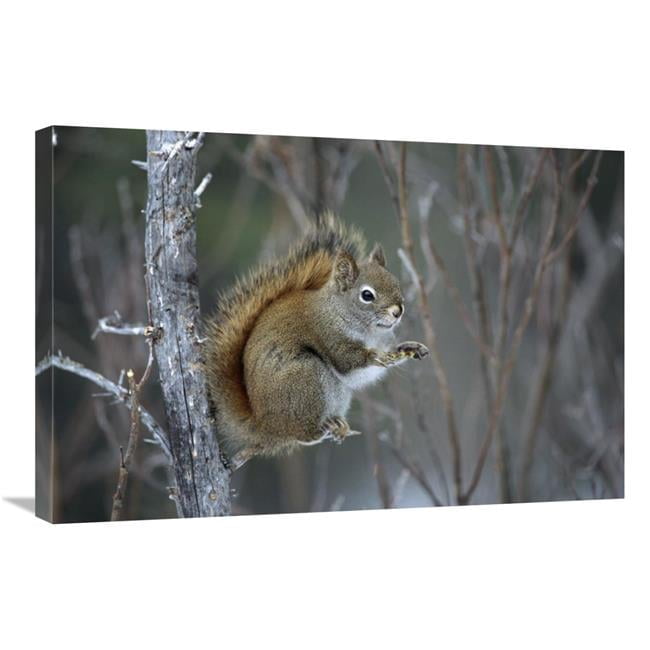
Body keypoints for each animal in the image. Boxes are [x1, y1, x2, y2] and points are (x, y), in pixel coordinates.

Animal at [205, 213, 429, 469]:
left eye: (395, 283)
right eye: (367, 295)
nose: (398, 311)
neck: (370, 330)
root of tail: (265, 427)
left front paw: (410, 347)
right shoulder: (328, 335)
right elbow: (349, 361)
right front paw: (376, 356)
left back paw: (338, 426)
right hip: (305, 379)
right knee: (300, 435)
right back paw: (320, 431)